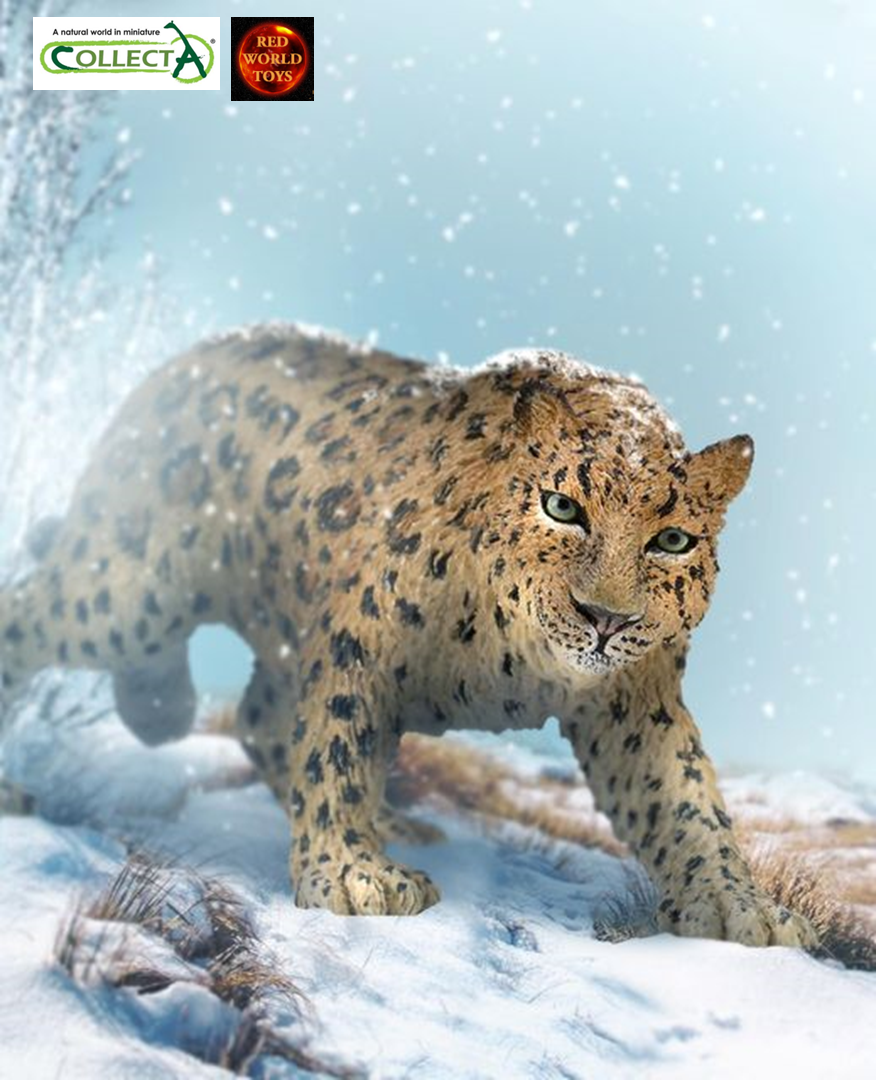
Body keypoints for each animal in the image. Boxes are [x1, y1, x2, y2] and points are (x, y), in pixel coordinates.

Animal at [0, 324, 817, 947]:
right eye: (562, 507)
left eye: (672, 540)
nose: (605, 617)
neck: (519, 660)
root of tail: (161, 377)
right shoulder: (358, 645)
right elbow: (337, 747)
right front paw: (352, 875)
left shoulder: (636, 701)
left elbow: (682, 798)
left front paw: (738, 906)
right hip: (128, 592)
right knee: (29, 613)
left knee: (261, 715)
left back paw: (399, 821)